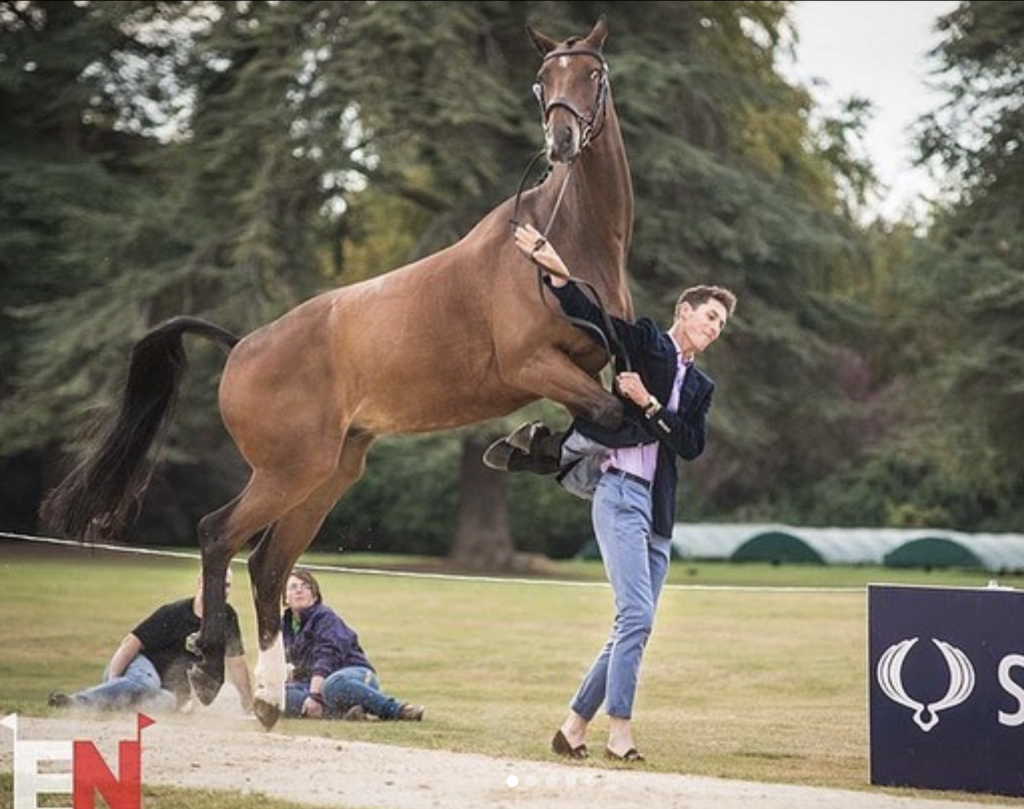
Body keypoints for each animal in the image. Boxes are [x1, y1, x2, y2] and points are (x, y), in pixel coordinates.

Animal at [41, 17, 634, 730]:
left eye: (594, 75)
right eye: (543, 80)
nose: (561, 140)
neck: (560, 241)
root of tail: (242, 346)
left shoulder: (584, 368)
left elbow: (600, 417)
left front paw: (530, 446)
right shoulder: (535, 365)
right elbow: (608, 416)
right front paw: (528, 447)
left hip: (328, 474)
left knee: (268, 563)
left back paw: (269, 699)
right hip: (289, 470)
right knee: (219, 536)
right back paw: (210, 668)